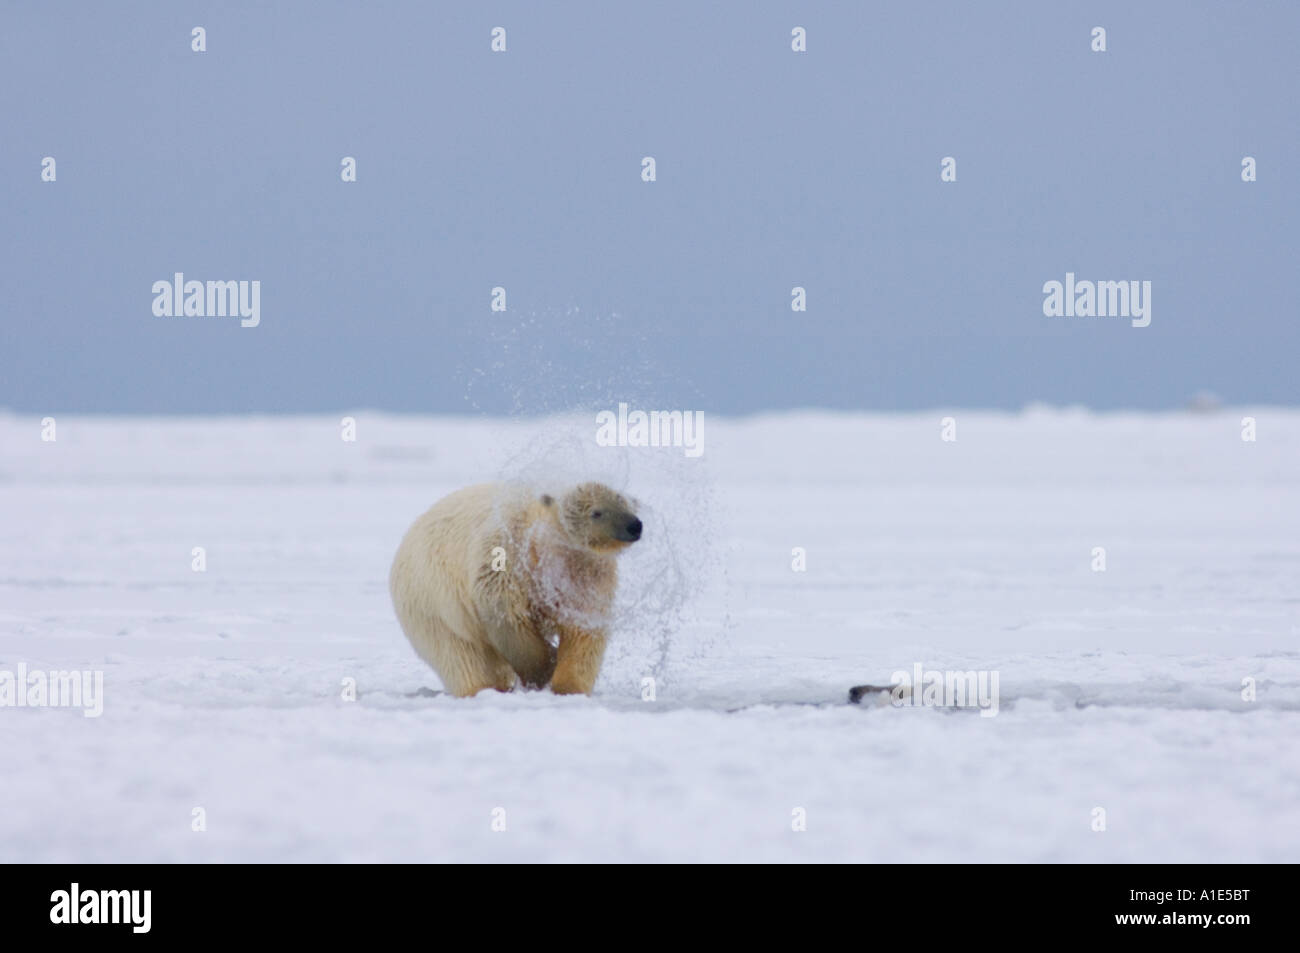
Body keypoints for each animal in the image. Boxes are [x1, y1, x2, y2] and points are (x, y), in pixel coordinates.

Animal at [389, 481, 642, 697]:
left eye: (623, 501)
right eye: (596, 512)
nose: (634, 525)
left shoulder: (588, 579)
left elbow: (583, 629)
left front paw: (568, 686)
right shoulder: (504, 560)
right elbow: (508, 618)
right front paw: (546, 667)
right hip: (432, 606)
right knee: (459, 656)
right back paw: (481, 688)